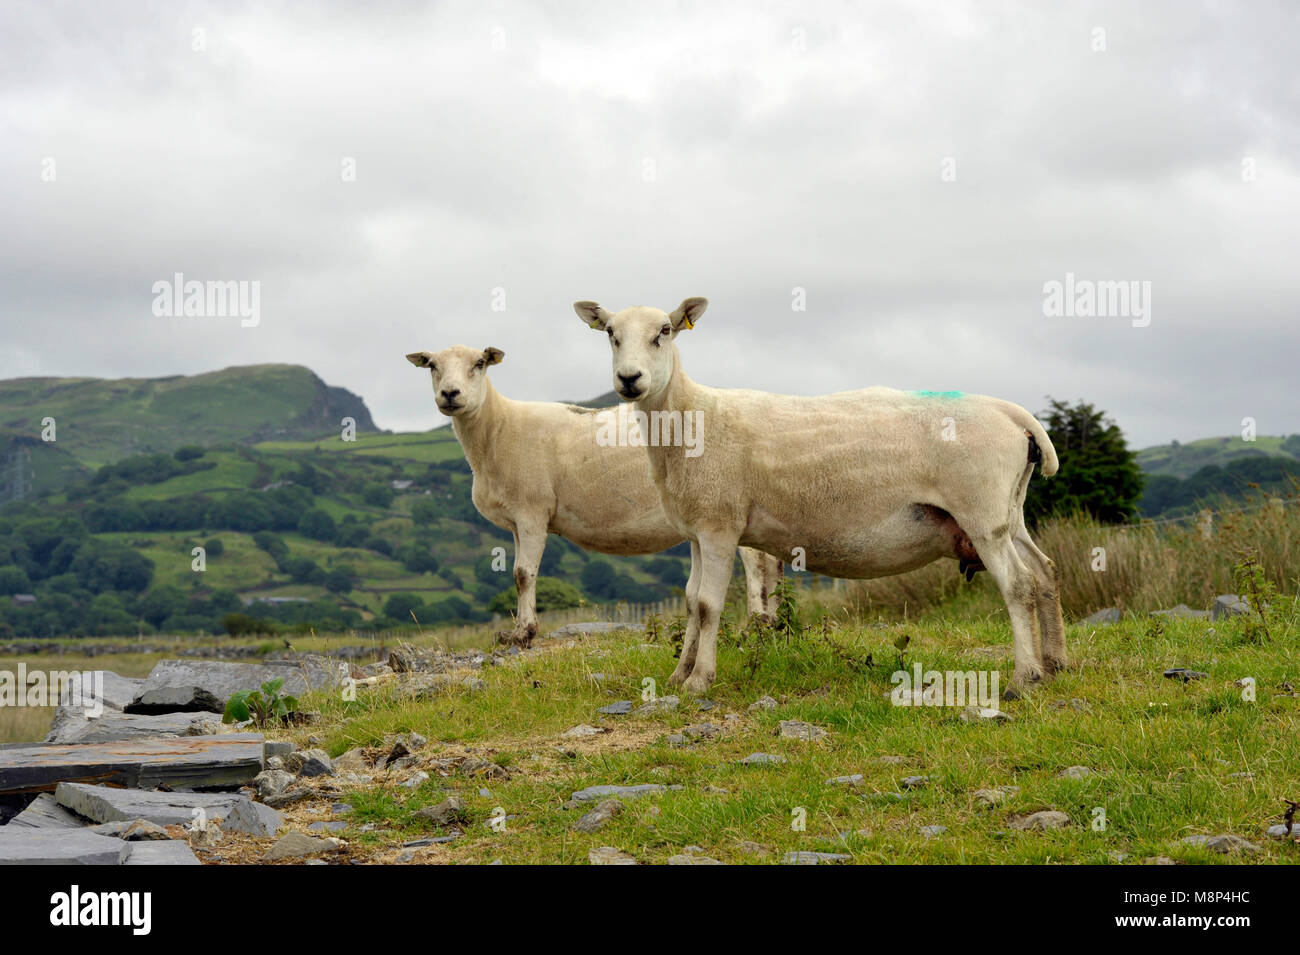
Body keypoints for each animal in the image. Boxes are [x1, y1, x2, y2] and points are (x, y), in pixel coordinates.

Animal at [405, 344, 783, 646]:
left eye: (479, 363)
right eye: (432, 365)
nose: (450, 393)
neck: (498, 429)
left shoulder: (532, 511)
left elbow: (523, 574)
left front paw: (524, 632)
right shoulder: (516, 520)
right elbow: (517, 573)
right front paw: (517, 630)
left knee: (757, 562)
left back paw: (758, 623)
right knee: (772, 562)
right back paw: (774, 622)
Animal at [574, 299, 1066, 698]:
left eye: (664, 331)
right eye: (610, 333)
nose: (629, 379)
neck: (689, 418)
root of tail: (1012, 413)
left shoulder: (719, 527)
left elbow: (709, 606)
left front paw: (699, 681)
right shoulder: (697, 530)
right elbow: (692, 601)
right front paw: (679, 675)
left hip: (981, 512)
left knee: (1019, 584)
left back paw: (1024, 679)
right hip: (1008, 512)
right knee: (1045, 572)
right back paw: (1056, 664)